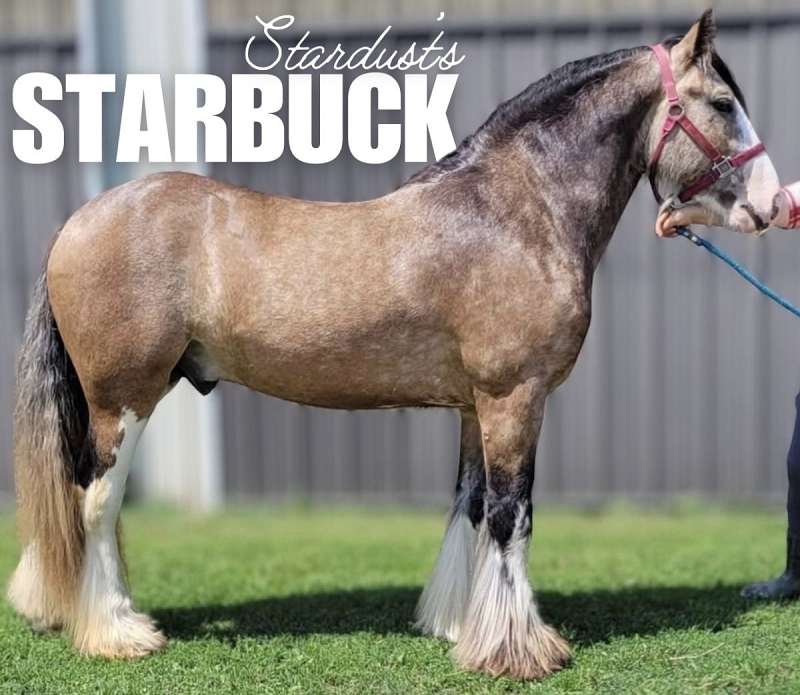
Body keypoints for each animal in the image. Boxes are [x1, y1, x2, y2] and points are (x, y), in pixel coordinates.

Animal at [7, 11, 781, 680]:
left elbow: (470, 507)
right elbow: (513, 514)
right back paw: (118, 631)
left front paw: (457, 624)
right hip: (125, 399)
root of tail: (78, 221)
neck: (516, 212)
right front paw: (516, 651)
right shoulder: (515, 398)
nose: (775, 204)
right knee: (96, 502)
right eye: (720, 103)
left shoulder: (475, 406)